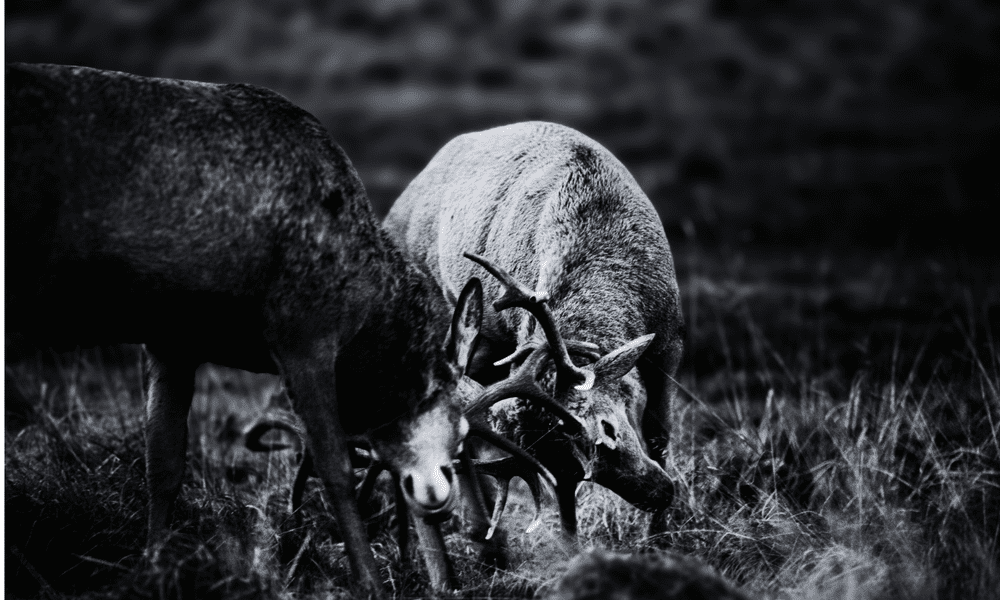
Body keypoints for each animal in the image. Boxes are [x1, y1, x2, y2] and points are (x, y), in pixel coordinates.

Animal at [5, 62, 552, 599]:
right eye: (460, 432)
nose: (435, 492)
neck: (366, 314)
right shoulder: (303, 333)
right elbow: (334, 467)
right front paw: (369, 582)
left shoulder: (170, 341)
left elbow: (162, 462)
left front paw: (153, 566)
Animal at [383, 121, 685, 541]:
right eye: (576, 469)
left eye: (607, 428)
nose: (660, 494)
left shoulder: (669, 340)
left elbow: (659, 435)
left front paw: (660, 538)